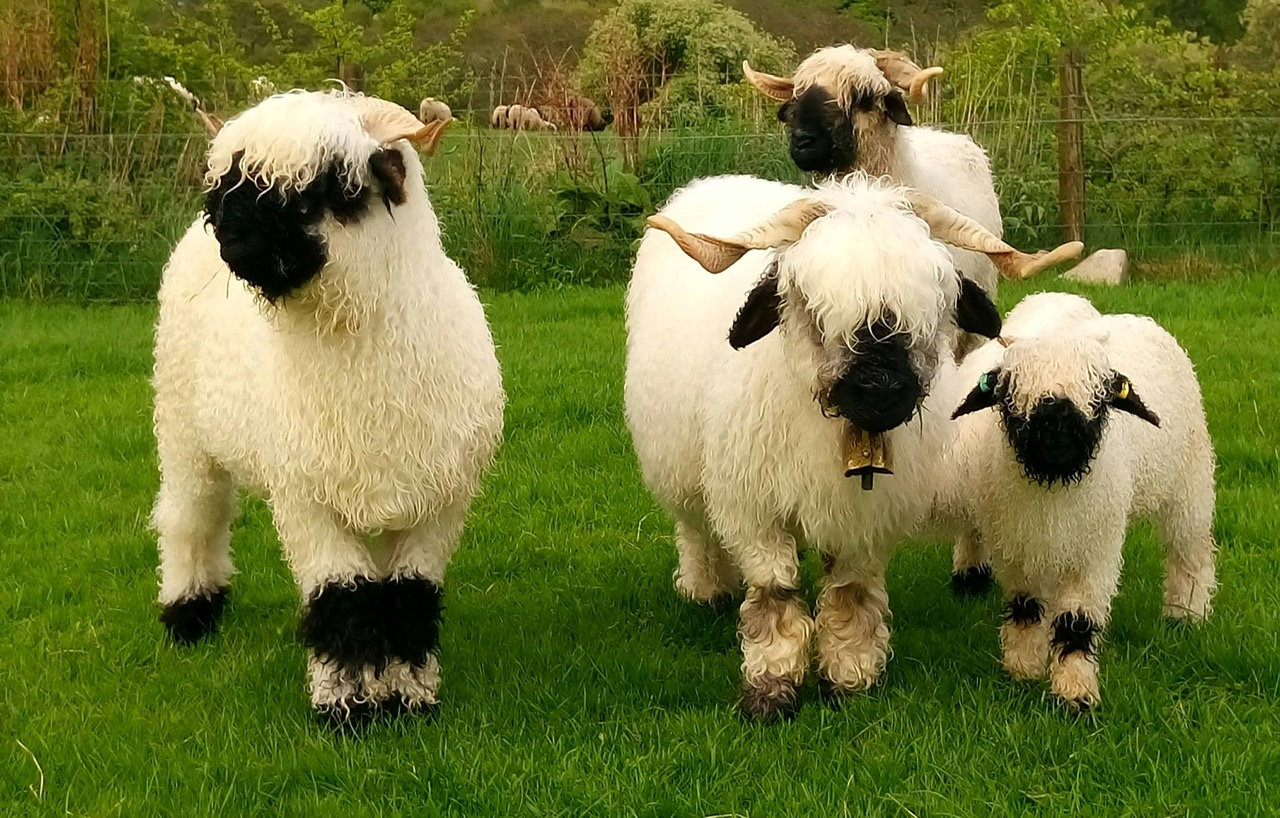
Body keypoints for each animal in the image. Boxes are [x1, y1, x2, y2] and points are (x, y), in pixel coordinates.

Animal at [152, 90, 505, 724]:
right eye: (230, 180)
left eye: (335, 186)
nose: (232, 239)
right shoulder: (305, 501)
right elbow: (344, 599)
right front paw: (349, 708)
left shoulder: (439, 503)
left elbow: (409, 597)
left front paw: (410, 698)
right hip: (182, 428)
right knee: (190, 517)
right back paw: (189, 615)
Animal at [626, 171, 1082, 720]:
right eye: (808, 306)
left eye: (935, 306)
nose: (881, 388)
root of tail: (715, 179)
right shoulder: (754, 510)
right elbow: (774, 596)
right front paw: (770, 691)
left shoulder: (863, 520)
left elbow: (851, 593)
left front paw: (850, 678)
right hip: (683, 470)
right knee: (695, 528)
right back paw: (704, 589)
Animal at [940, 295, 1217, 710]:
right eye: (1011, 400)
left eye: (1099, 401)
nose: (1057, 440)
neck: (1052, 489)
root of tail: (1136, 318)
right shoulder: (1017, 546)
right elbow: (1025, 608)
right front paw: (1023, 670)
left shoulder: (1094, 552)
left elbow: (1076, 623)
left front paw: (1075, 695)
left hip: (1190, 480)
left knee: (1190, 551)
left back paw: (1185, 614)